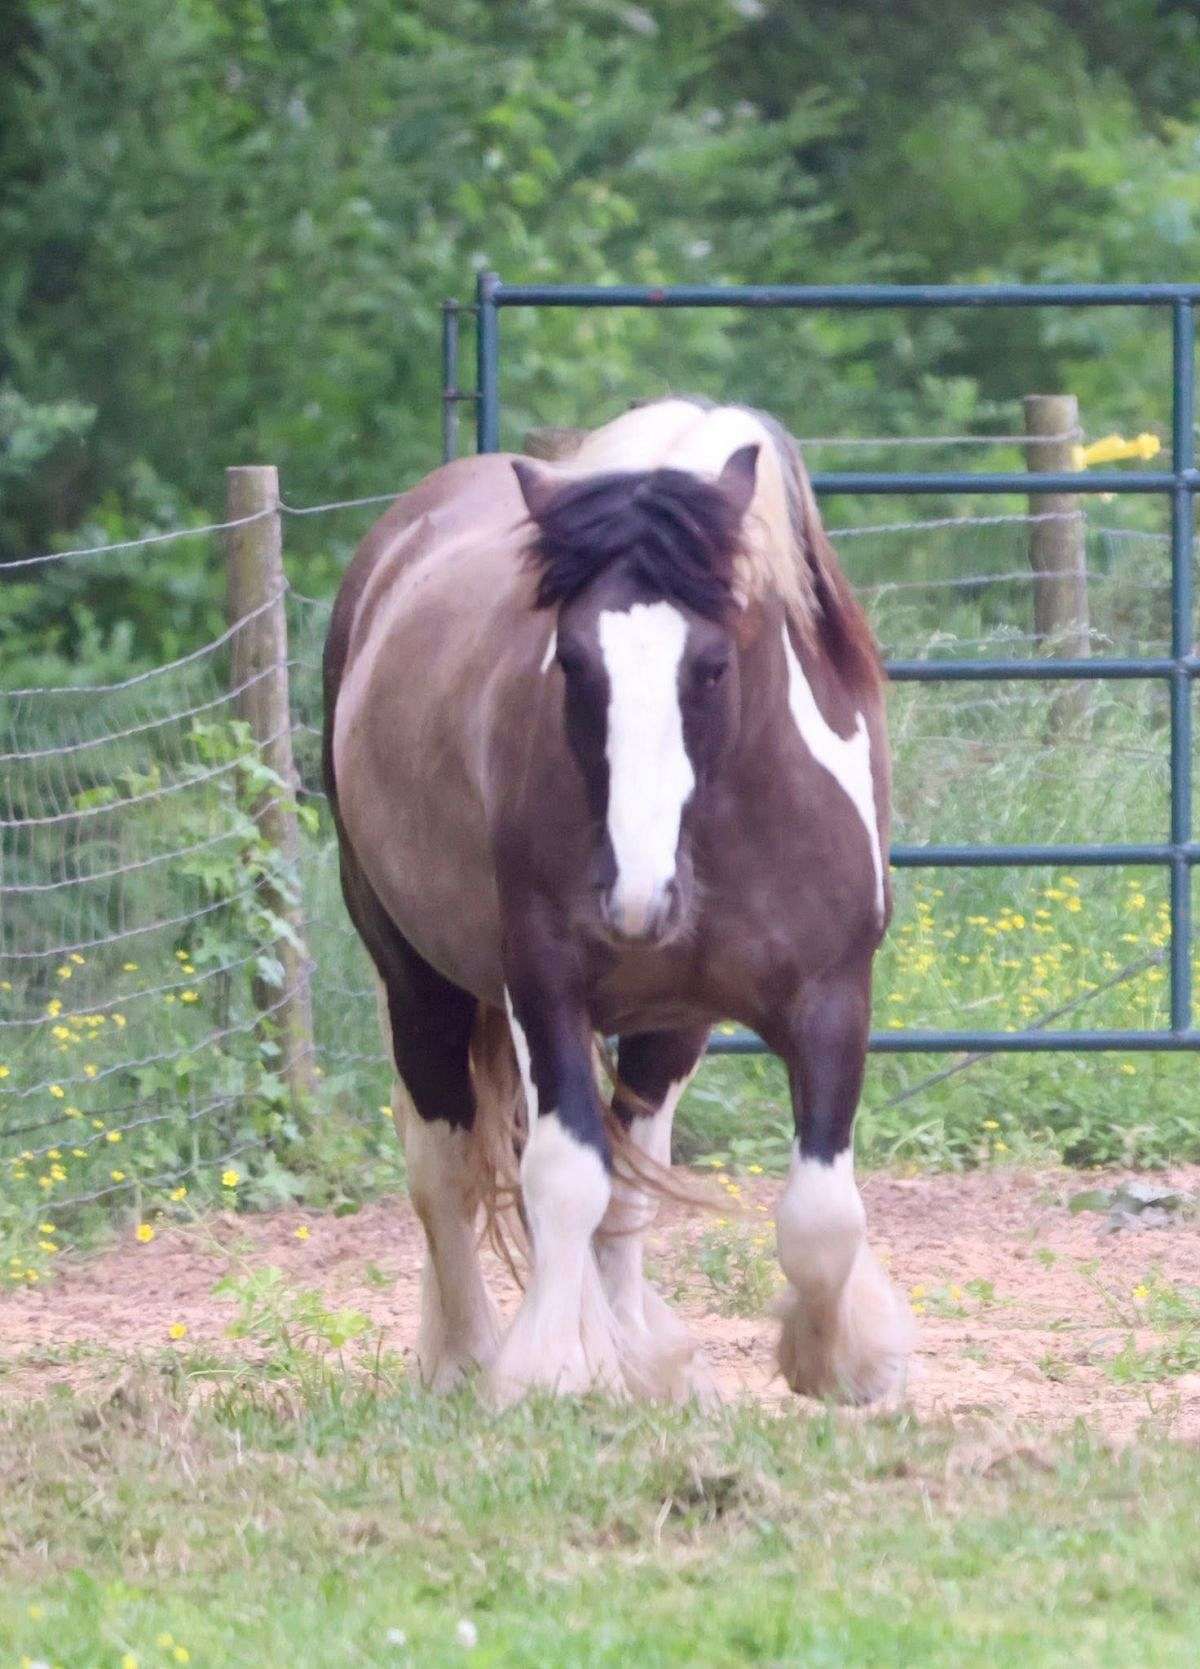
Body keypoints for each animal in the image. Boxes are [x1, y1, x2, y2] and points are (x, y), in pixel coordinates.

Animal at [322, 396, 914, 1405]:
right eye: (572, 662)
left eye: (712, 665)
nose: (638, 900)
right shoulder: (543, 983)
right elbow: (563, 1177)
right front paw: (551, 1369)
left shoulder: (834, 995)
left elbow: (820, 1213)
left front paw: (837, 1360)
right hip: (418, 978)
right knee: (445, 1166)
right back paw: (466, 1355)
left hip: (668, 1022)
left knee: (631, 1172)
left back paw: (637, 1349)